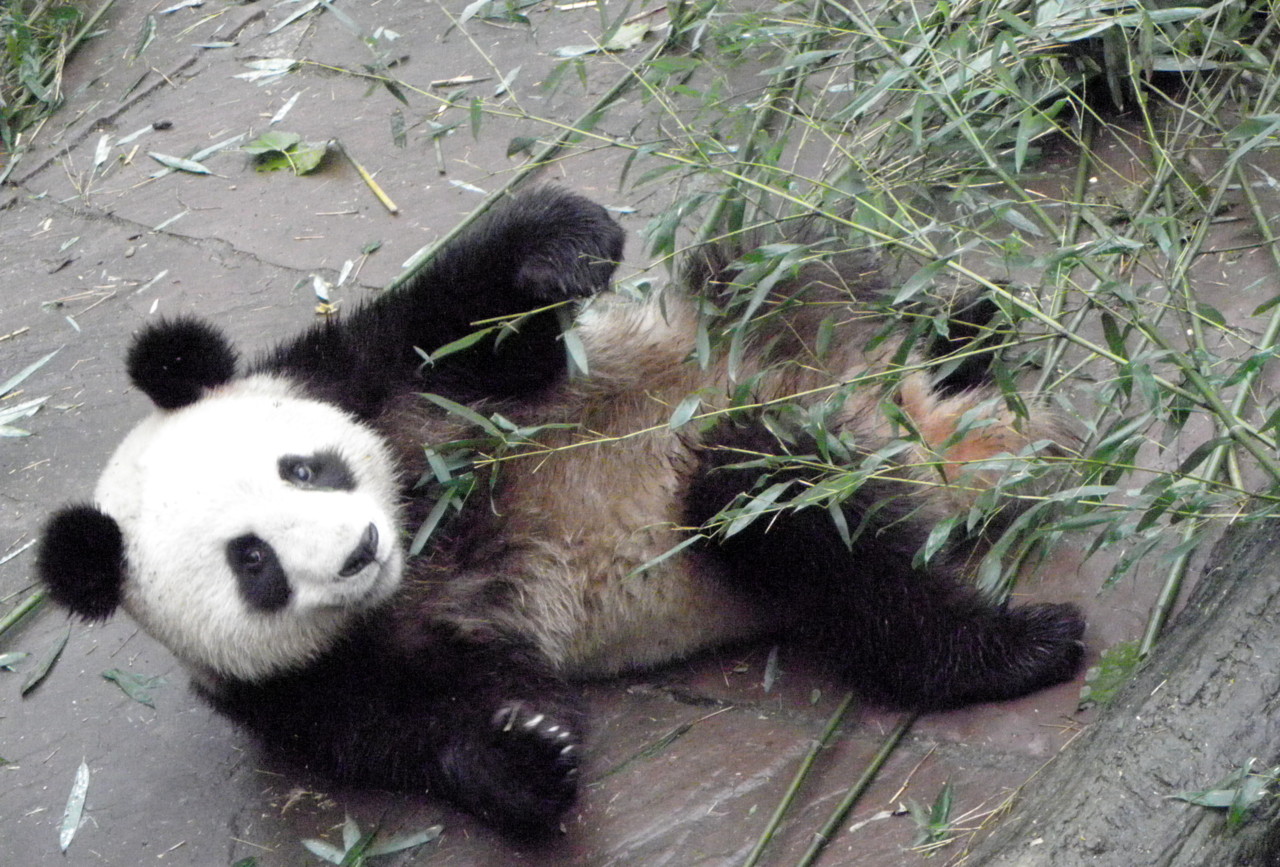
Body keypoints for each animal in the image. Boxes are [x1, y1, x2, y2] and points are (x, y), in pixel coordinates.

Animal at [36, 188, 1084, 838]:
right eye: (251, 561)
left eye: (306, 468)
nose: (357, 552)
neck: (425, 529)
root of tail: (928, 432)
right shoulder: (309, 681)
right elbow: (433, 723)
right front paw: (529, 753)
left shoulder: (373, 381)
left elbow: (470, 320)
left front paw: (564, 243)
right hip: (780, 476)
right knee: (786, 515)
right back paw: (1015, 640)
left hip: (769, 309)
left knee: (800, 271)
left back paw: (979, 328)